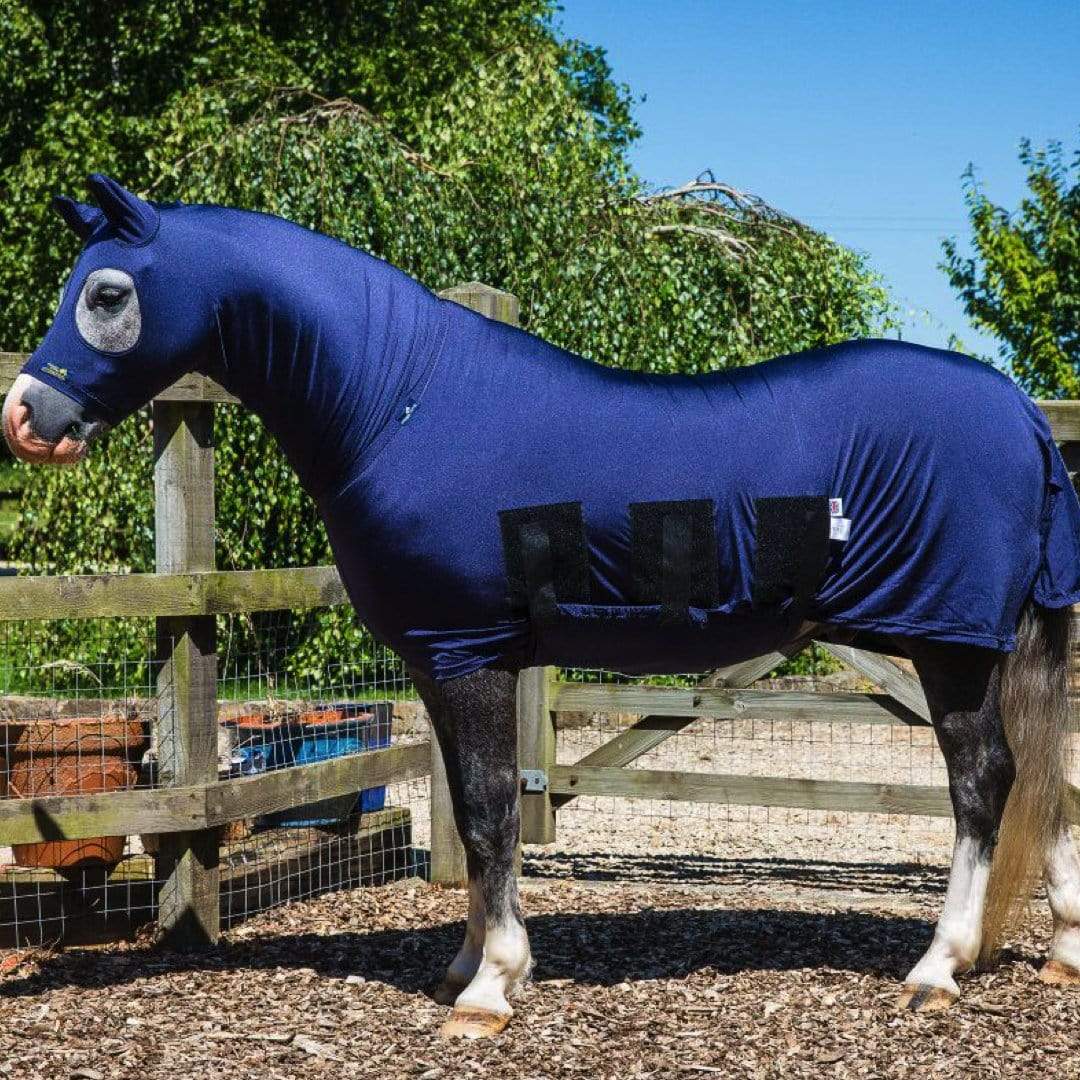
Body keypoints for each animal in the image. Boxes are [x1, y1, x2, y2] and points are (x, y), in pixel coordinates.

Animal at [7, 174, 1080, 1038]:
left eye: (107, 293)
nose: (26, 417)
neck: (401, 401)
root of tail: (1022, 413)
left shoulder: (466, 652)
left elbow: (487, 813)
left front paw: (490, 991)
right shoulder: (441, 657)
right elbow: (473, 804)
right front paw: (465, 964)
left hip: (949, 646)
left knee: (986, 779)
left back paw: (939, 968)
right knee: (1044, 775)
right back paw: (1060, 950)